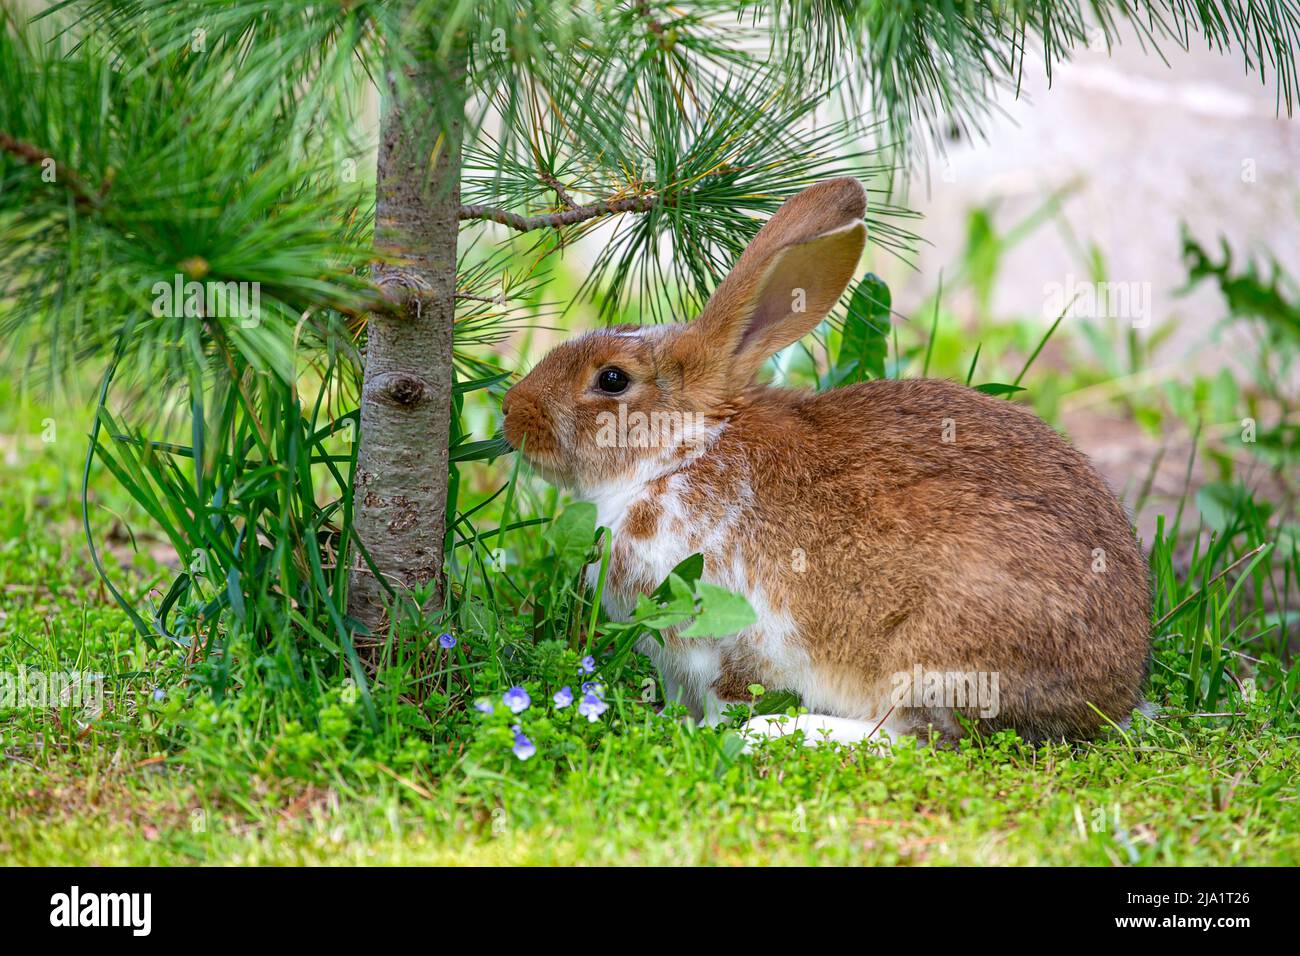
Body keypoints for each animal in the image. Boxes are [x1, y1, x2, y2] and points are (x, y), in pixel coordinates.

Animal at [501, 177, 1151, 746]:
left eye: (612, 379)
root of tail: (1111, 693)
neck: (680, 452)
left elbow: (727, 696)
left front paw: (714, 732)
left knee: (918, 737)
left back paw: (783, 731)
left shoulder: (722, 641)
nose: (512, 415)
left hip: (937, 655)